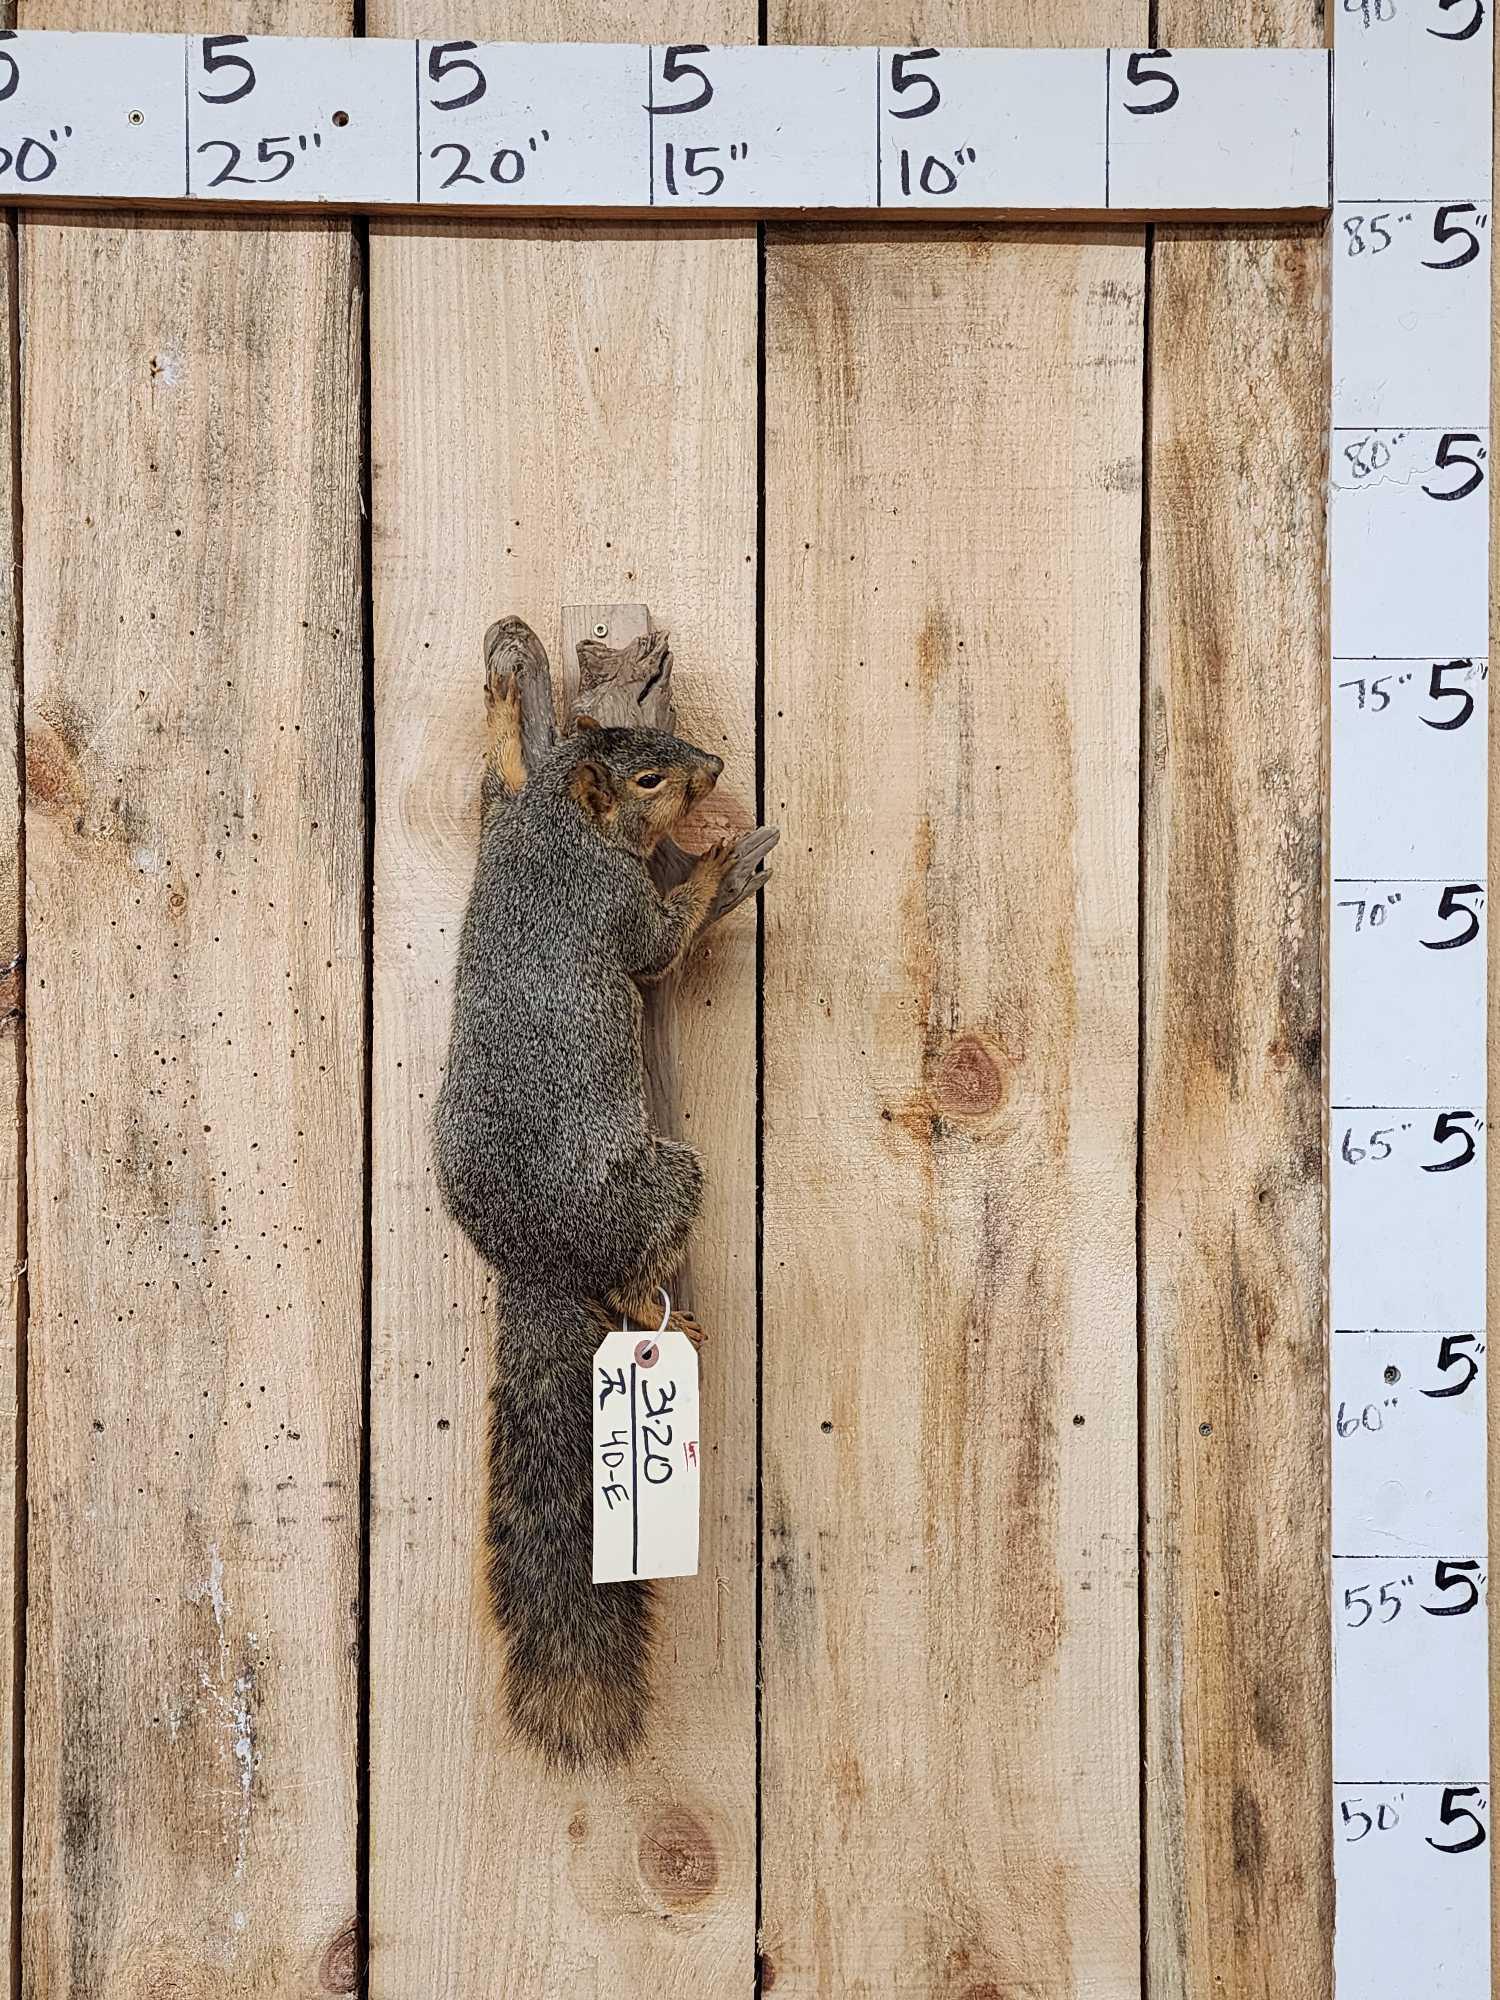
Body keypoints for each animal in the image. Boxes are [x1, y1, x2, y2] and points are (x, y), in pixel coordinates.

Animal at [434, 640, 774, 1771]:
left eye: (646, 740)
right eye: (652, 779)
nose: (716, 767)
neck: (555, 825)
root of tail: (536, 1260)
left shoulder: (498, 819)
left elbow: (491, 777)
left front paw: (513, 699)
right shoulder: (617, 906)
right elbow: (662, 942)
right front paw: (716, 865)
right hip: (663, 1183)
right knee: (630, 1285)